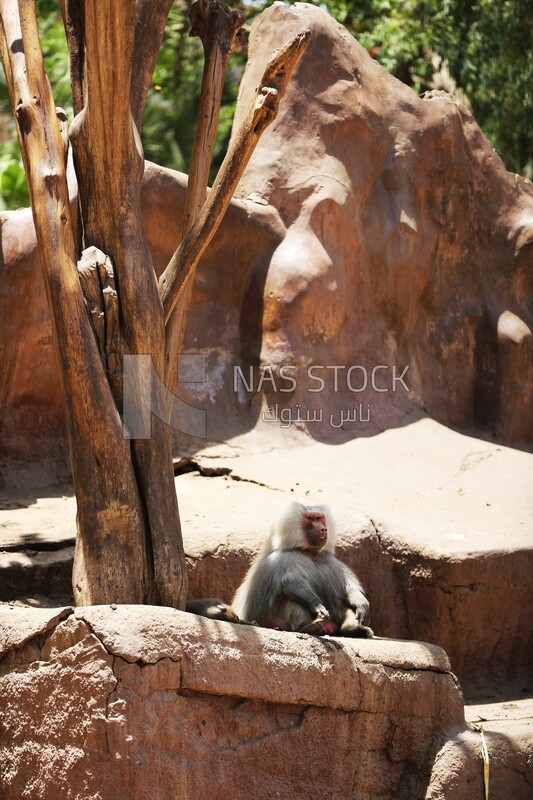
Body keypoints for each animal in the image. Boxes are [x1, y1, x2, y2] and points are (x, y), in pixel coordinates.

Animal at [232, 501, 373, 638]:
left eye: (319, 518)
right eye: (310, 518)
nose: (323, 529)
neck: (310, 552)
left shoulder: (332, 563)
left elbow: (347, 589)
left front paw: (362, 604)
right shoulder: (288, 559)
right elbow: (292, 583)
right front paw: (318, 607)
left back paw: (352, 630)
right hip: (277, 622)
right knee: (292, 596)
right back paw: (308, 627)